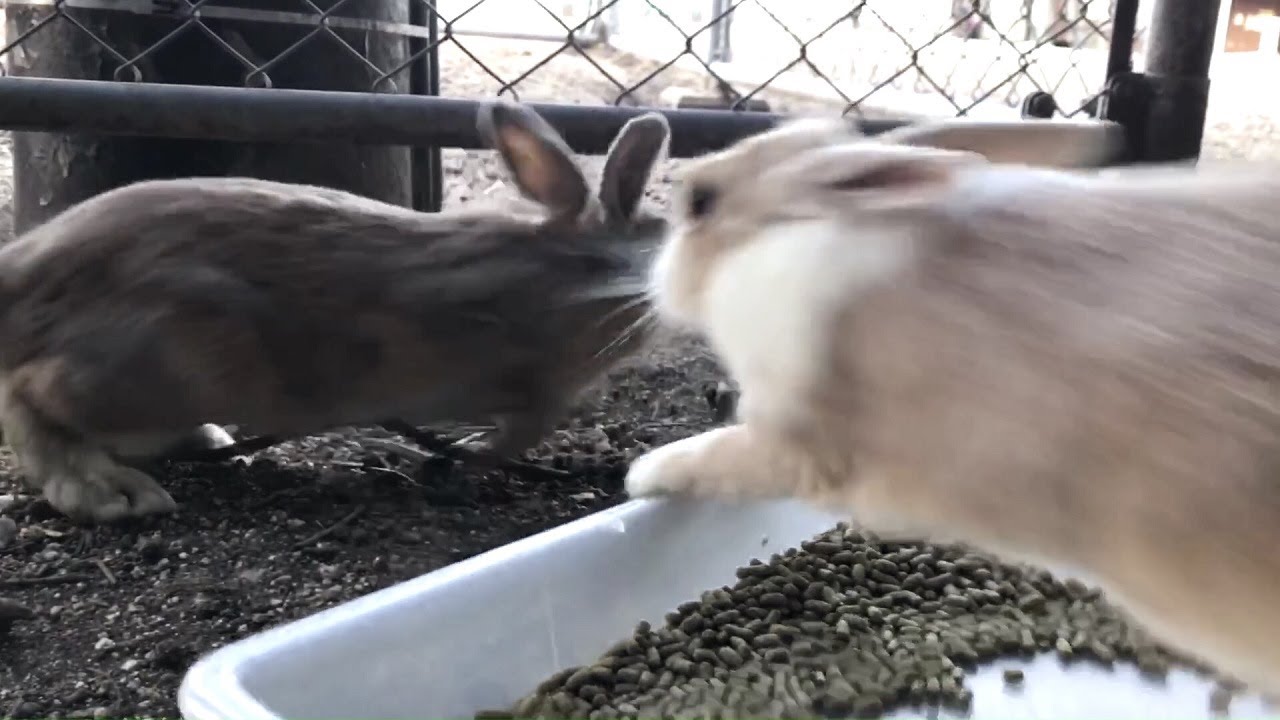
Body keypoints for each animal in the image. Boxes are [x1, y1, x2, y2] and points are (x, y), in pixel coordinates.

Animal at [0, 99, 671, 524]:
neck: (579, 267)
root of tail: (24, 279)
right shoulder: (538, 392)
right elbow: (508, 441)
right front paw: (448, 463)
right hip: (165, 361)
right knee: (27, 396)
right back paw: (108, 493)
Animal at [623, 114, 1280, 695]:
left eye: (701, 202)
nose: (659, 278)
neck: (793, 234)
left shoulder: (800, 442)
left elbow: (715, 455)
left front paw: (643, 474)